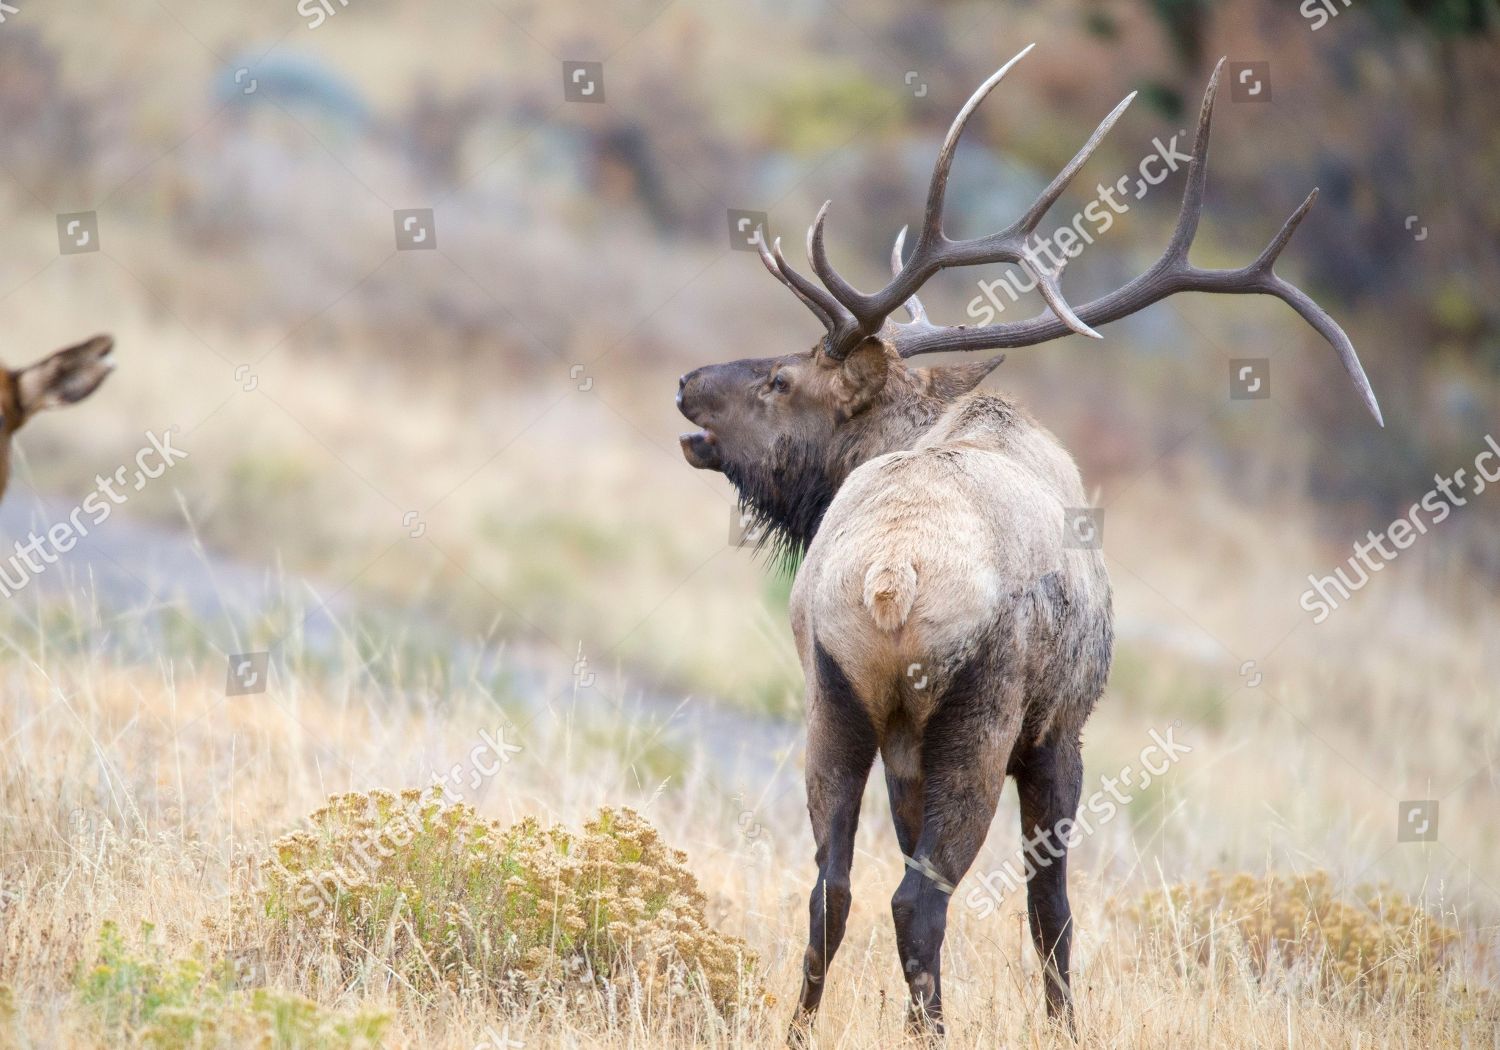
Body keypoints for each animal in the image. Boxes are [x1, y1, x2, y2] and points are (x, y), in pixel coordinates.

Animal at [676, 48, 1380, 1040]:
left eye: (778, 379)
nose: (687, 383)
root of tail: (889, 578)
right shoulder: (1064, 729)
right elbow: (1054, 909)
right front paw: (1067, 1027)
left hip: (834, 700)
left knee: (833, 889)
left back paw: (802, 1028)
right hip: (980, 718)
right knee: (918, 901)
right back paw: (929, 1033)